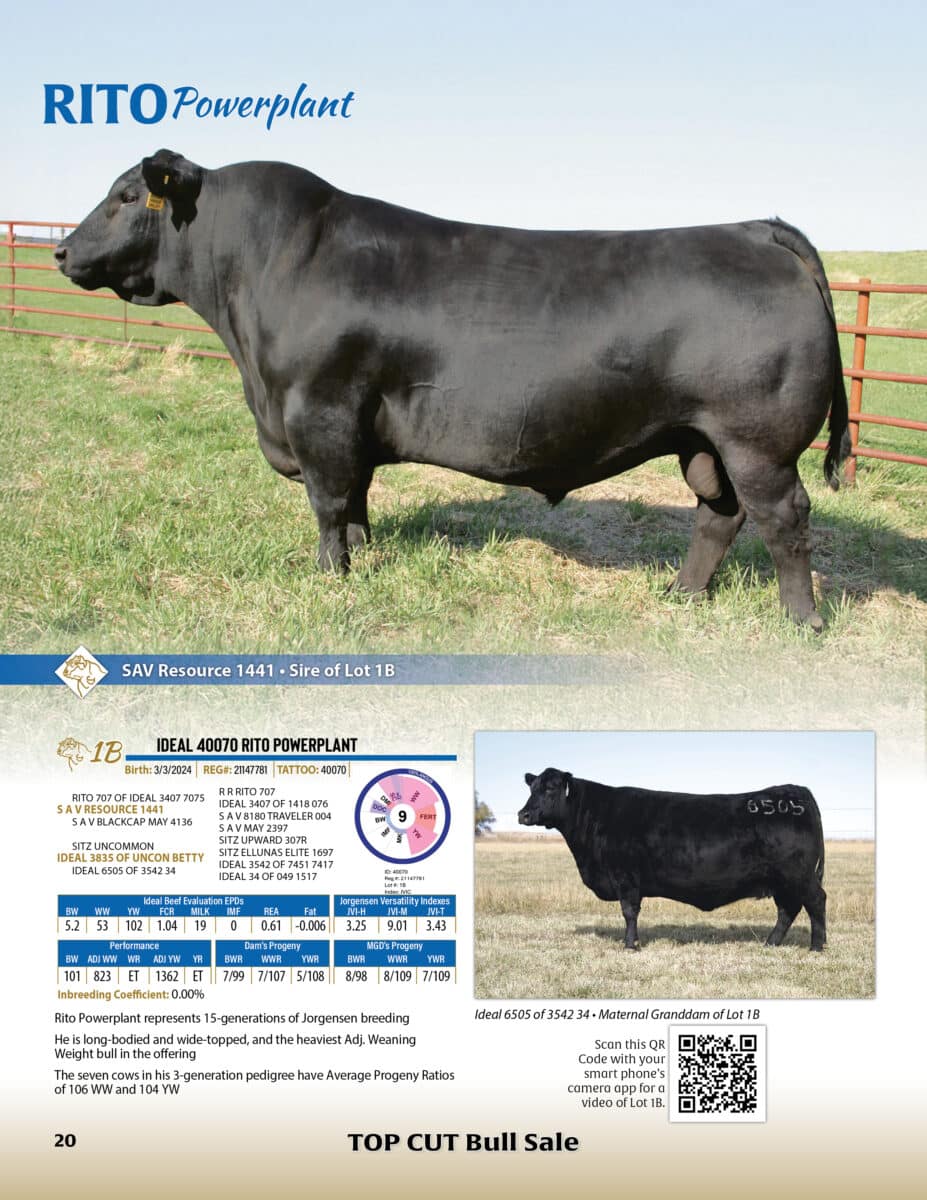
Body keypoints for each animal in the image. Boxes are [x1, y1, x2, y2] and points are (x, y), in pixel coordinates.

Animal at [55, 149, 850, 629]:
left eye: (126, 195)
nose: (61, 249)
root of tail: (753, 229)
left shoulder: (318, 412)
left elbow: (327, 503)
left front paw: (329, 578)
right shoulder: (346, 425)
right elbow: (356, 501)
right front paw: (362, 560)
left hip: (757, 442)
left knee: (783, 518)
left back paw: (801, 618)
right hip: (701, 438)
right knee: (719, 514)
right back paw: (680, 594)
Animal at [518, 768, 826, 950]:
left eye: (551, 788)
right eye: (532, 788)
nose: (523, 814)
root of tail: (796, 791)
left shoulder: (625, 877)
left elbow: (629, 912)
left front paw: (630, 945)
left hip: (798, 875)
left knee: (815, 902)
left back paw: (817, 946)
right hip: (781, 880)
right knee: (787, 910)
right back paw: (770, 944)